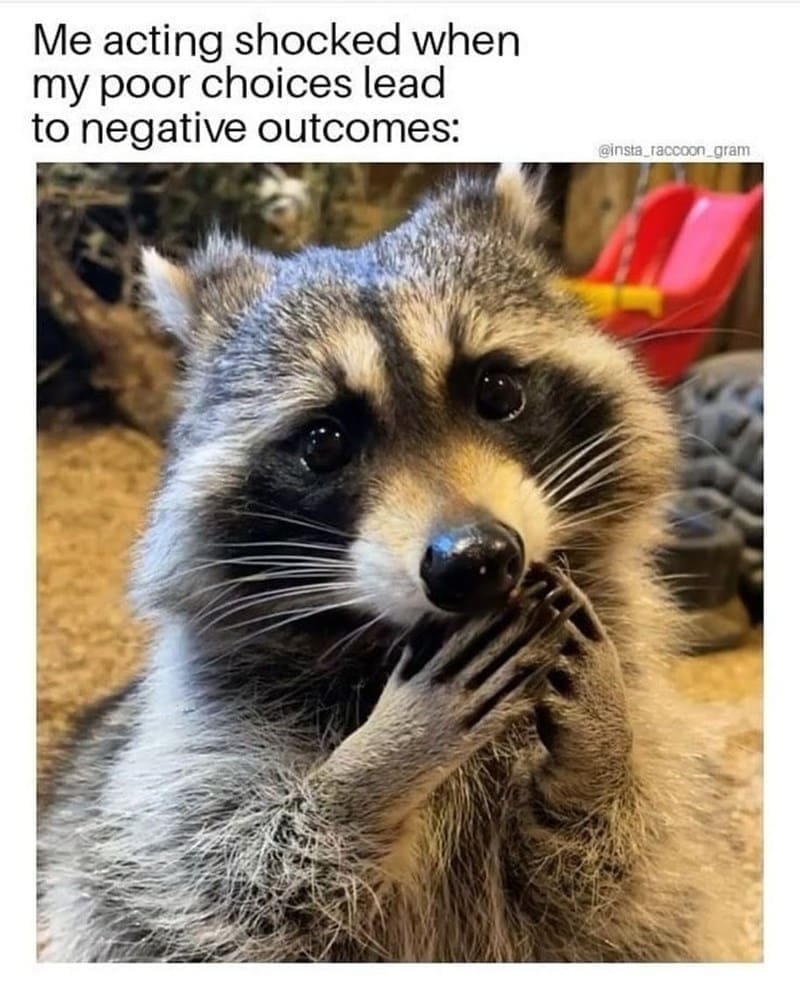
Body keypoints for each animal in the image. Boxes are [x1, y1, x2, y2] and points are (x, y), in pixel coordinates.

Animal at [38, 165, 735, 962]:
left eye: (498, 390)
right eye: (324, 443)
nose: (475, 560)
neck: (381, 635)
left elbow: (633, 880)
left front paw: (601, 751)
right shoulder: (184, 760)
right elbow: (221, 881)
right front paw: (371, 768)